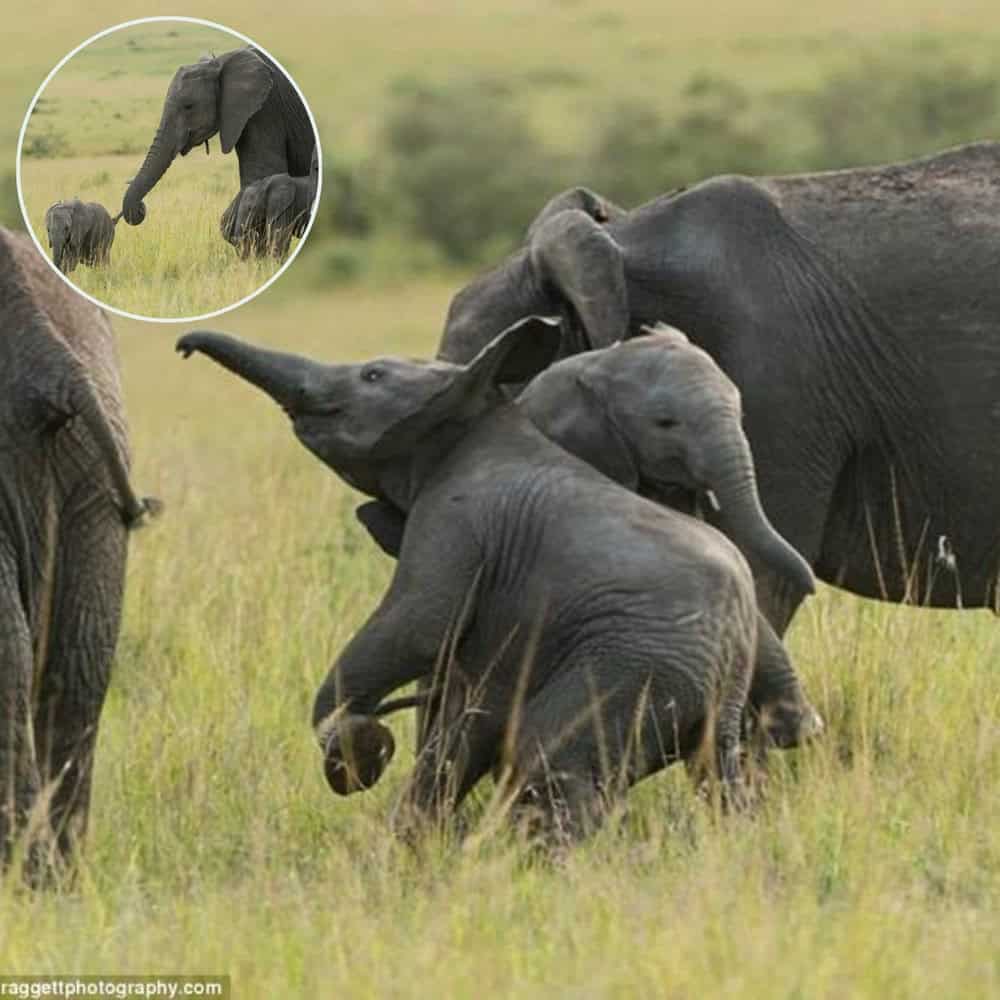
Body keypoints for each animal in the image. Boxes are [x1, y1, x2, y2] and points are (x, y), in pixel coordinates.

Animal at [177, 318, 783, 842]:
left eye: (372, 375)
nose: (182, 348)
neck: (478, 410)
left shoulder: (457, 519)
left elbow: (420, 626)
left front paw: (357, 752)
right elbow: (465, 720)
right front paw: (412, 845)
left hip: (635, 664)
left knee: (545, 754)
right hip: (705, 694)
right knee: (715, 774)